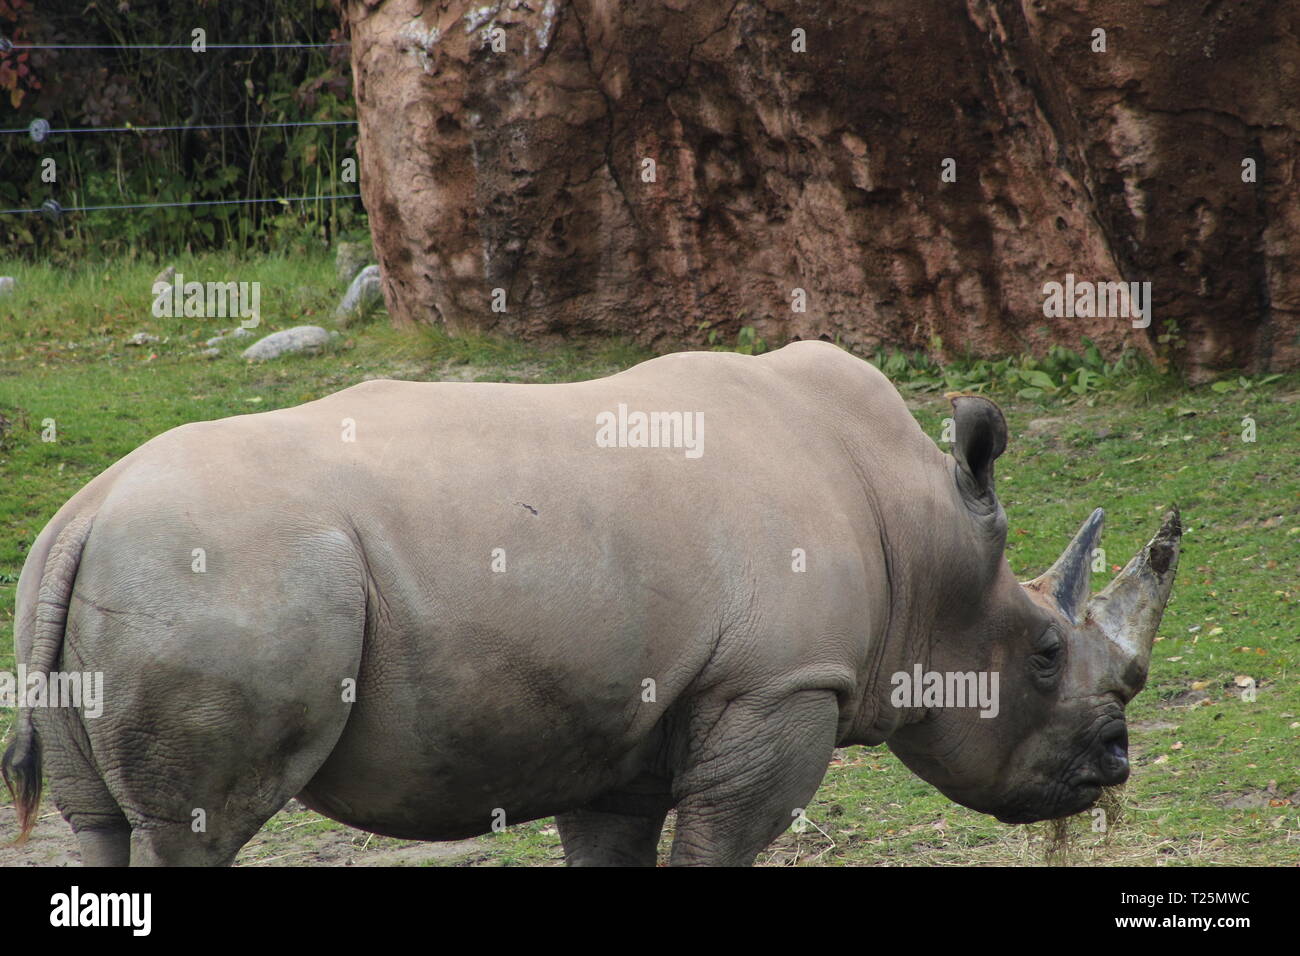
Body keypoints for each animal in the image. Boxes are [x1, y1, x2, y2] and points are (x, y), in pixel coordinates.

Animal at [3, 340, 1180, 866]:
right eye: (1043, 653)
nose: (1115, 759)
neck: (918, 538)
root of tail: (80, 511)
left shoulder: (624, 724)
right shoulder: (778, 687)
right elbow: (721, 846)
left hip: (117, 583)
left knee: (100, 824)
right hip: (222, 575)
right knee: (199, 831)